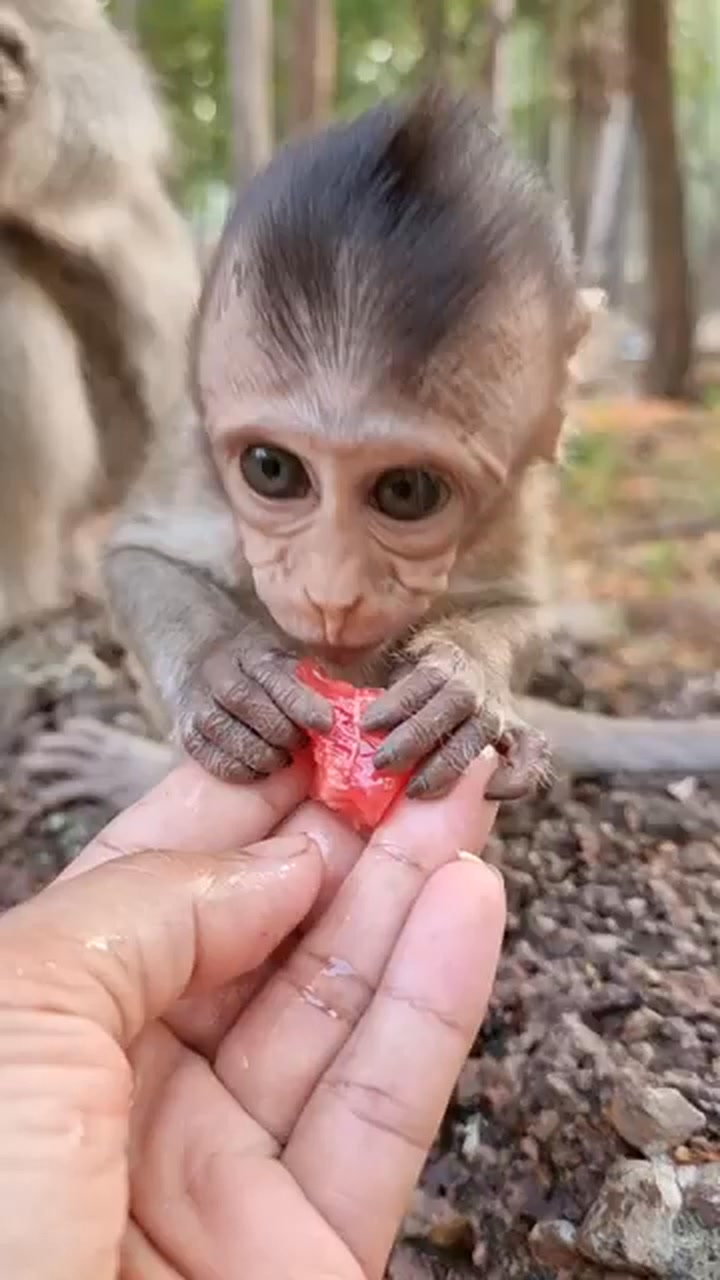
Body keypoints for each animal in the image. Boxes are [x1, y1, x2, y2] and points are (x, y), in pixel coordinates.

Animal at [21, 86, 720, 815]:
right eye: (271, 469)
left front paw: (463, 680)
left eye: (408, 491)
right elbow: (138, 554)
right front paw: (225, 672)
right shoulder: (192, 448)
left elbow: (519, 605)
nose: (332, 596)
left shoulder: (521, 496)